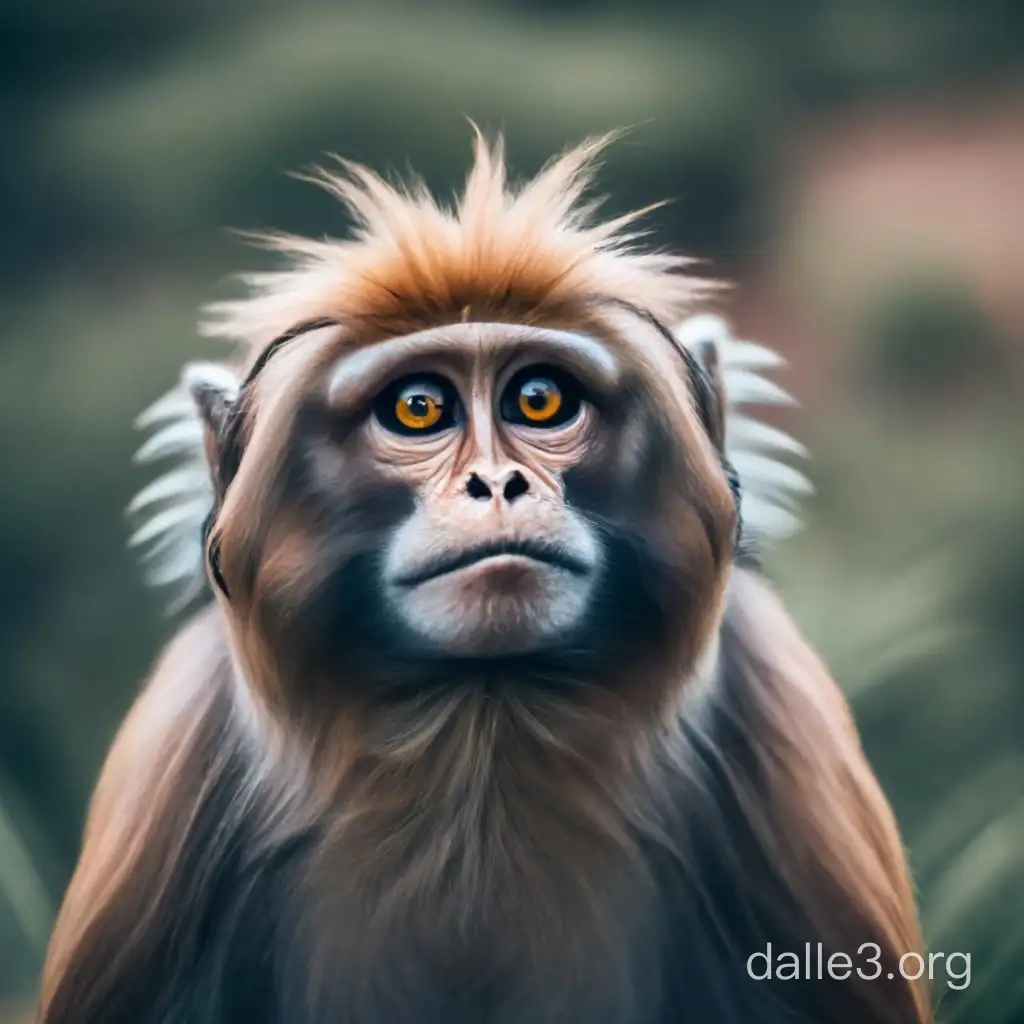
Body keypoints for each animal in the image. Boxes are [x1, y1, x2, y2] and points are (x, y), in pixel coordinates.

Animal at [36, 131, 934, 1024]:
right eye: (419, 409)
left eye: (538, 399)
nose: (496, 484)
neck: (483, 717)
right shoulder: (175, 753)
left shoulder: (780, 712)